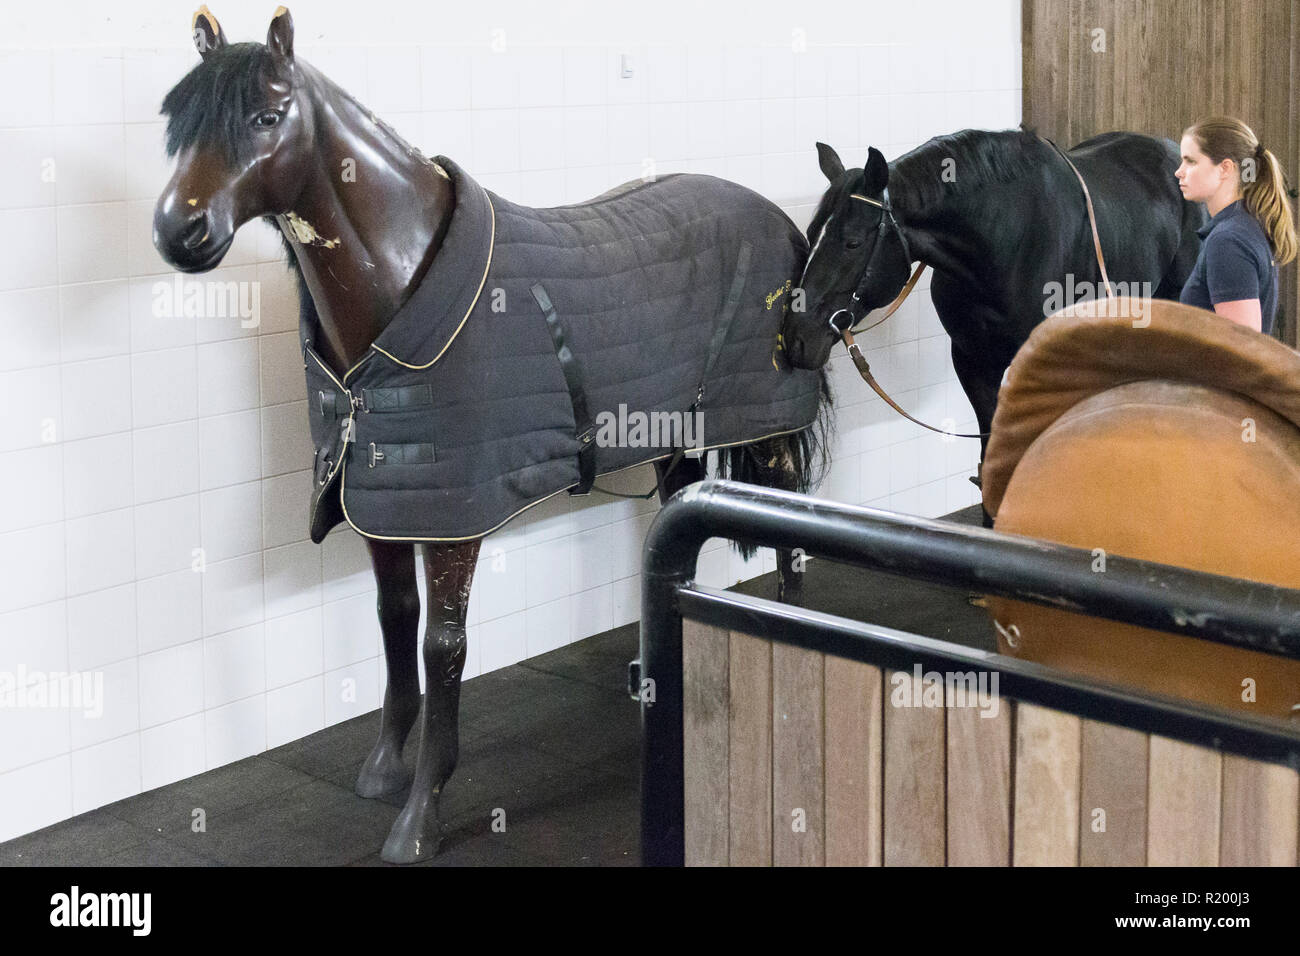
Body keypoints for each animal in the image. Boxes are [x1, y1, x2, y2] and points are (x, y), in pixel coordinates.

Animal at [151, 7, 831, 863]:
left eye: (266, 118)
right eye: (176, 120)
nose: (178, 230)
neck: (399, 285)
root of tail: (780, 222)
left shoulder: (454, 519)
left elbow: (443, 646)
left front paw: (420, 816)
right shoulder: (382, 499)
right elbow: (394, 619)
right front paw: (384, 767)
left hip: (770, 429)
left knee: (793, 537)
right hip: (675, 437)